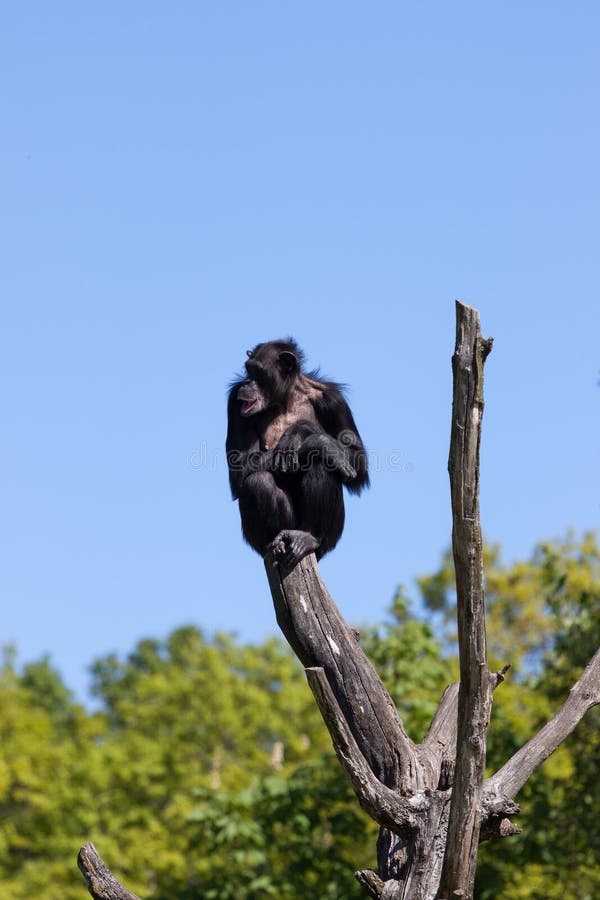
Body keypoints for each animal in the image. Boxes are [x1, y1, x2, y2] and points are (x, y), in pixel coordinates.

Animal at [226, 339, 369, 568]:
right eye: (248, 369)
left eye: (258, 371)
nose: (247, 383)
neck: (286, 397)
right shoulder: (234, 402)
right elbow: (239, 462)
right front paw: (312, 440)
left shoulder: (335, 400)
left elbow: (358, 462)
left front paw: (306, 434)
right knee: (257, 480)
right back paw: (275, 543)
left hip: (331, 539)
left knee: (322, 464)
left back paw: (307, 536)